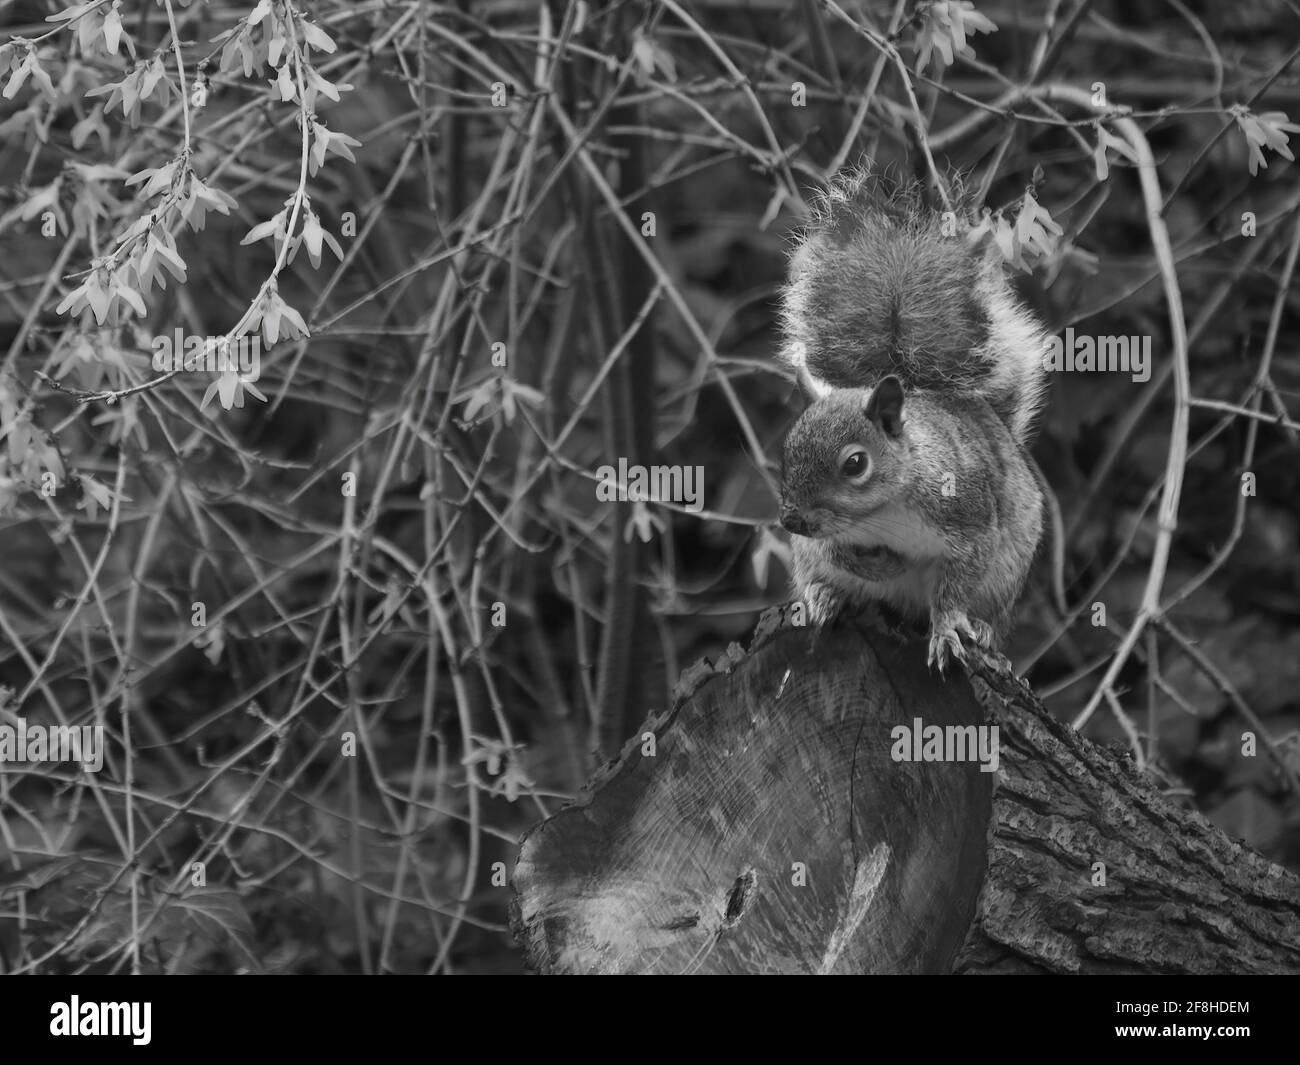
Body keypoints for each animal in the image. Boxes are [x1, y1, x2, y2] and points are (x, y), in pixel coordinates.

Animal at [776, 172, 1049, 670]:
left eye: (855, 464)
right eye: (788, 450)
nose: (792, 521)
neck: (883, 512)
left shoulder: (970, 519)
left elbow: (955, 585)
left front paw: (946, 630)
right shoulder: (825, 539)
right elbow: (840, 552)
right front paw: (886, 566)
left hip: (1006, 574)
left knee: (990, 614)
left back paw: (982, 629)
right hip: (806, 558)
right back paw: (824, 595)